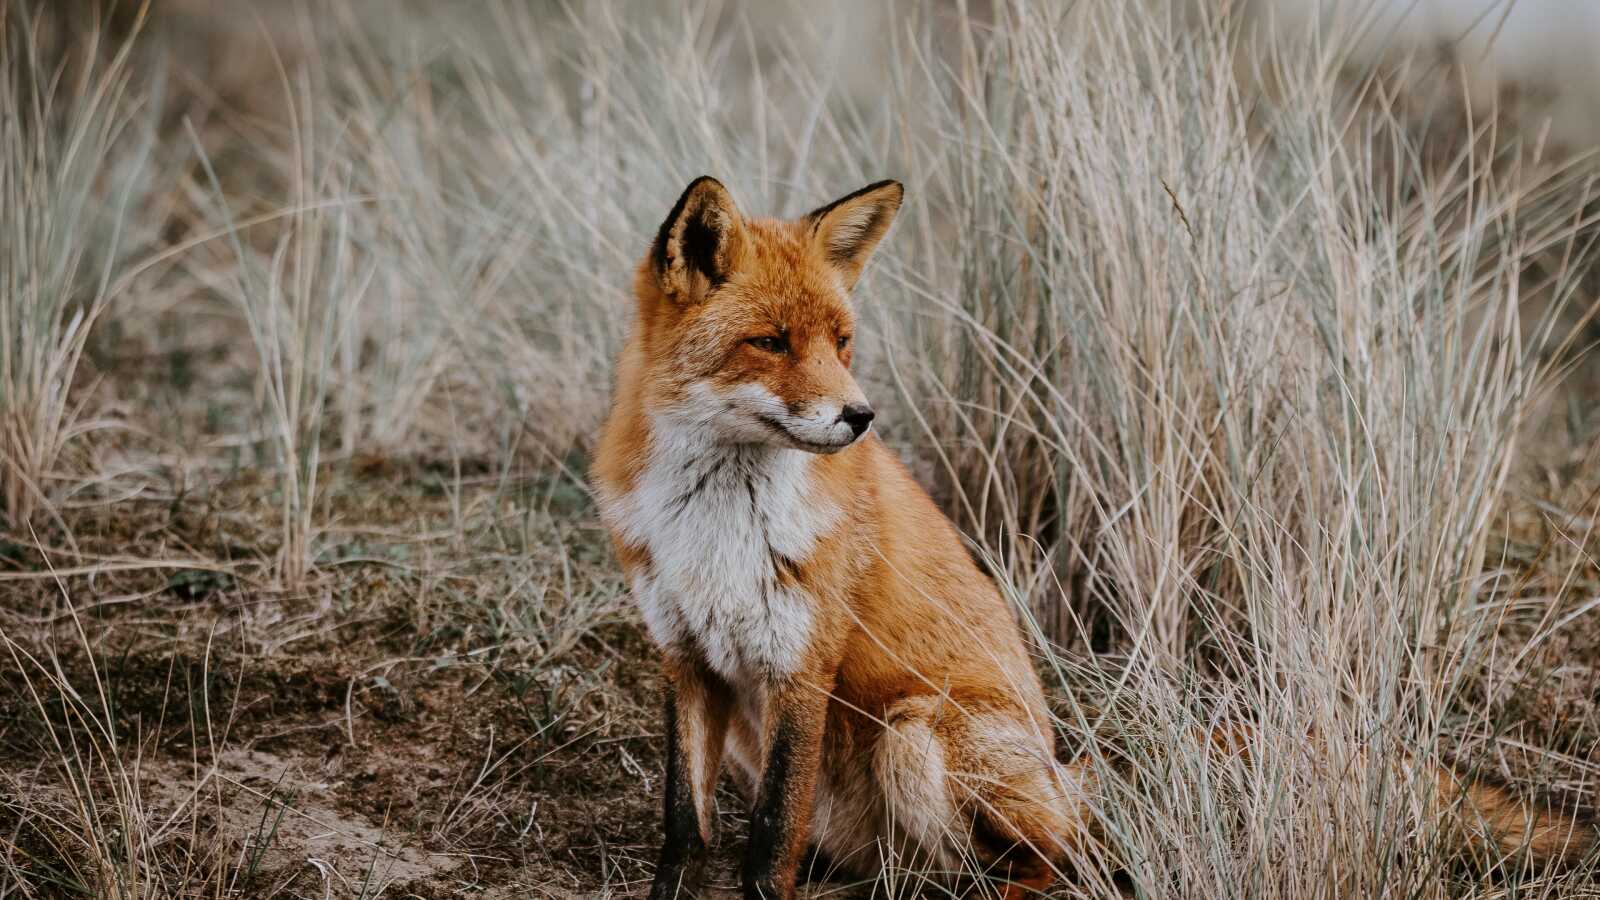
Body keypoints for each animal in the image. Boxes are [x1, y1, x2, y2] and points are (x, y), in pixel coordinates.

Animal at [592, 176, 1597, 899]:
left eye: (841, 340)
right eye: (769, 341)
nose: (859, 416)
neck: (714, 523)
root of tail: (1068, 769)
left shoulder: (802, 663)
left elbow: (767, 850)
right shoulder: (686, 657)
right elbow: (685, 829)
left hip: (922, 735)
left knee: (1072, 865)